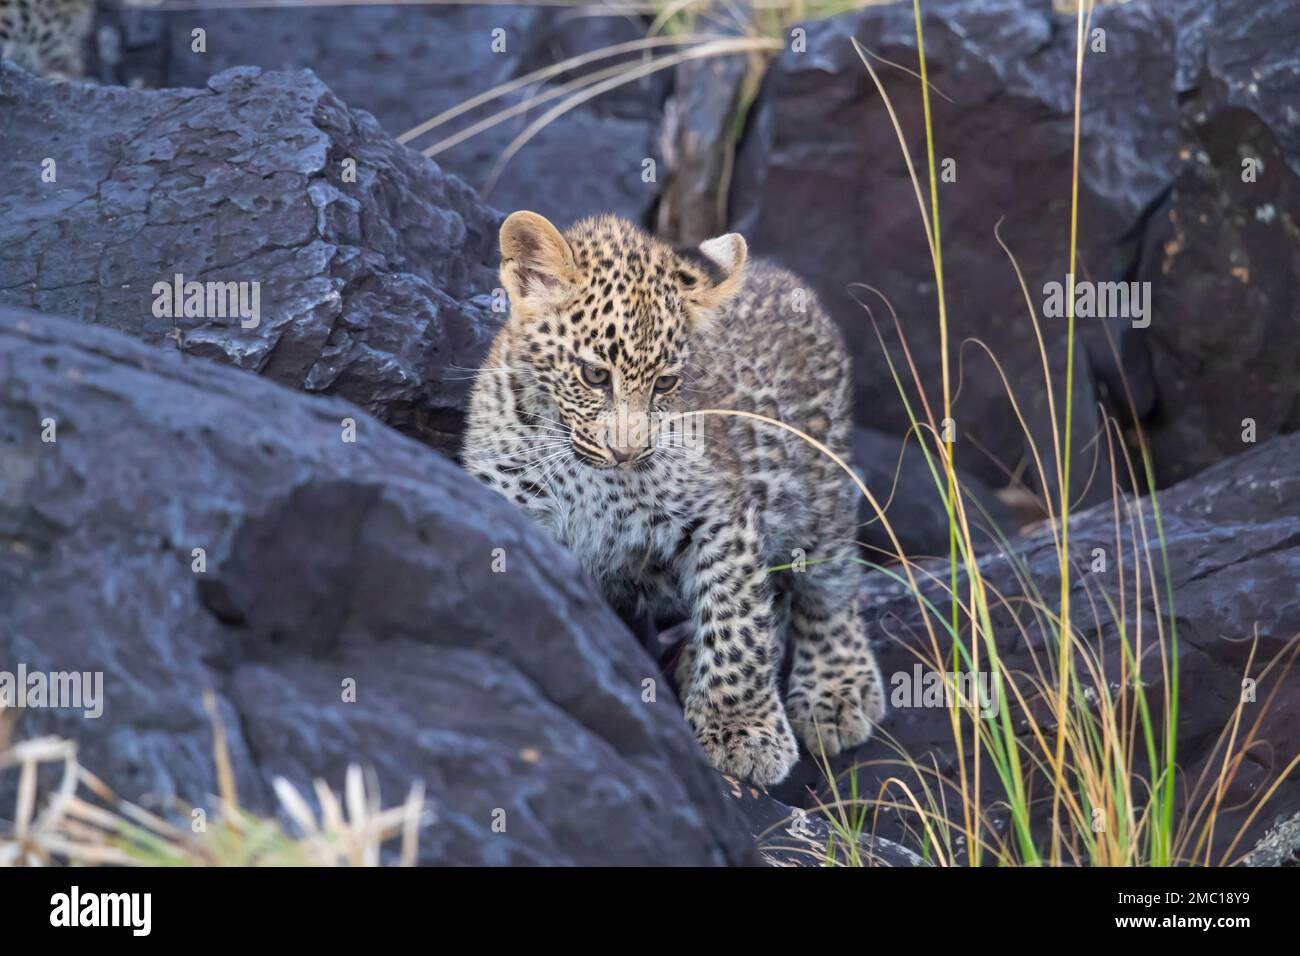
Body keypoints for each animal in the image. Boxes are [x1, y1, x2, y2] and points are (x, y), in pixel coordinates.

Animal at [463, 211, 885, 786]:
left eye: (665, 383)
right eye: (595, 374)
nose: (627, 451)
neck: (590, 476)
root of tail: (787, 280)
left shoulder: (721, 513)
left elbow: (737, 622)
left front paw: (742, 730)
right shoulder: (509, 498)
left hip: (820, 492)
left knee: (831, 586)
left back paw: (836, 691)